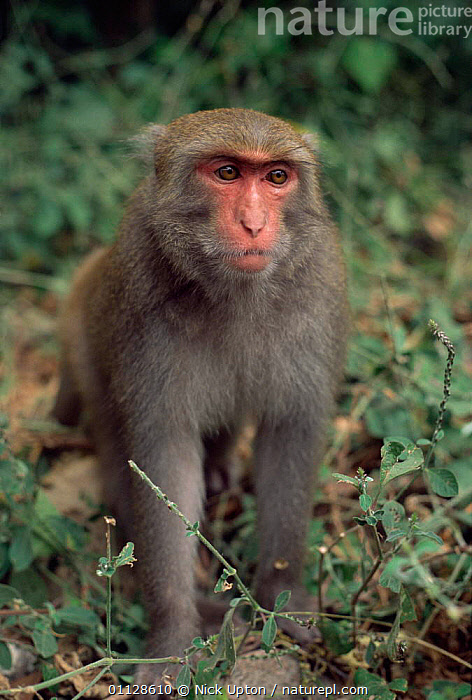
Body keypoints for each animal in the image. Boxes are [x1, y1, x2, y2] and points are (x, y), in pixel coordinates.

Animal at [53, 108, 348, 690]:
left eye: (276, 177)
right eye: (227, 173)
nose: (255, 225)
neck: (234, 291)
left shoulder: (317, 295)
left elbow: (290, 435)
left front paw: (283, 599)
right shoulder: (142, 309)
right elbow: (163, 460)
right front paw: (172, 635)